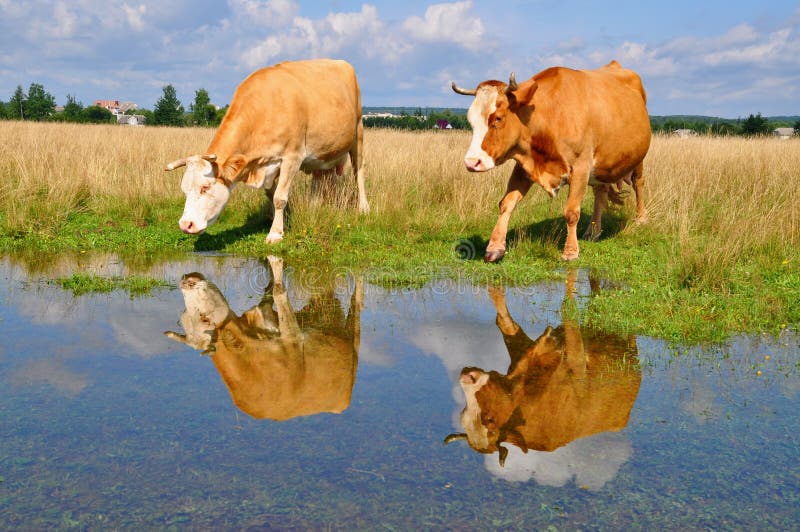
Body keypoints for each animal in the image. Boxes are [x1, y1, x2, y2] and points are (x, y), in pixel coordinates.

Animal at [164, 59, 369, 244]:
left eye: (205, 187)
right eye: (184, 190)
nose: (185, 225)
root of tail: (341, 63)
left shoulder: (292, 157)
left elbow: (279, 197)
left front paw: (275, 234)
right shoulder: (267, 164)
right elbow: (272, 195)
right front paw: (283, 221)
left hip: (358, 134)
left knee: (358, 173)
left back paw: (364, 208)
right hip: (321, 154)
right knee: (319, 180)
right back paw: (313, 209)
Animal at [164, 256, 362, 421]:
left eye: (203, 319)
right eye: (186, 316)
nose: (186, 280)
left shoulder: (292, 338)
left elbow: (277, 291)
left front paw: (275, 259)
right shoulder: (267, 318)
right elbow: (272, 291)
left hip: (353, 337)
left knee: (357, 304)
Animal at [444, 271, 641, 466]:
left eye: (490, 419)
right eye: (463, 415)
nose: (467, 377)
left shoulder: (578, 364)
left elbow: (568, 308)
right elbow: (505, 323)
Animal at [451, 60, 651, 261]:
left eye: (498, 118)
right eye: (470, 120)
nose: (471, 162)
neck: (550, 115)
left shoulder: (581, 167)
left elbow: (572, 212)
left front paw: (570, 251)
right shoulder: (524, 166)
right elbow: (507, 203)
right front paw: (495, 247)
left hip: (638, 157)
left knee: (638, 183)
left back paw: (641, 219)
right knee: (600, 193)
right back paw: (593, 231)